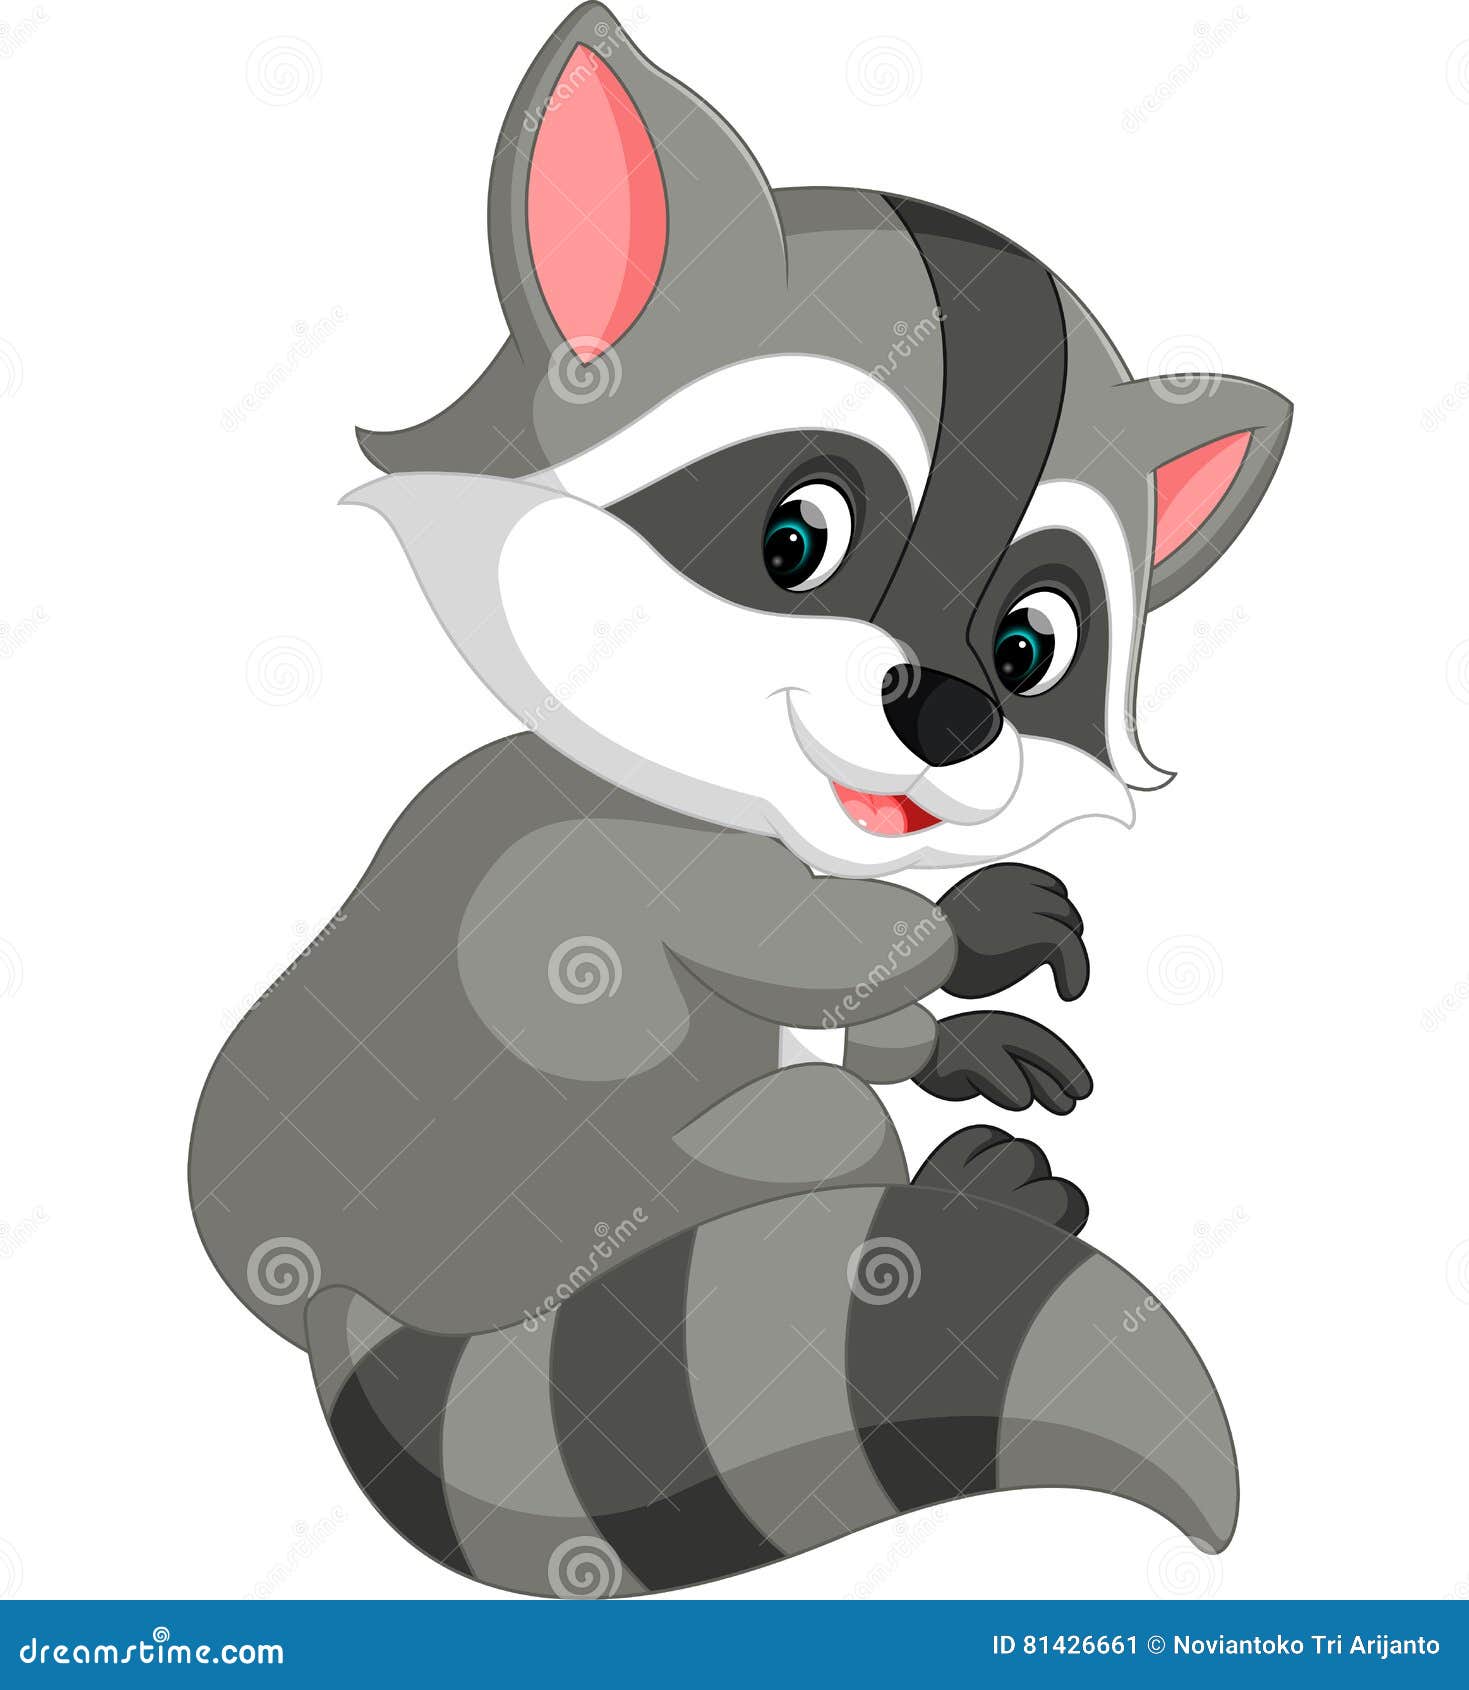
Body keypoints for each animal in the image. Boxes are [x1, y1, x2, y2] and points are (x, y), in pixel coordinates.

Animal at [190, 5, 1289, 1597]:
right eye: (795, 538)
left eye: (1029, 644)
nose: (950, 713)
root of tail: (330, 1285)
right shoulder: (614, 862)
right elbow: (789, 943)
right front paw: (955, 934)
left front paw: (944, 1021)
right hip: (570, 1219)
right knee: (811, 1119)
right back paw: (937, 1191)